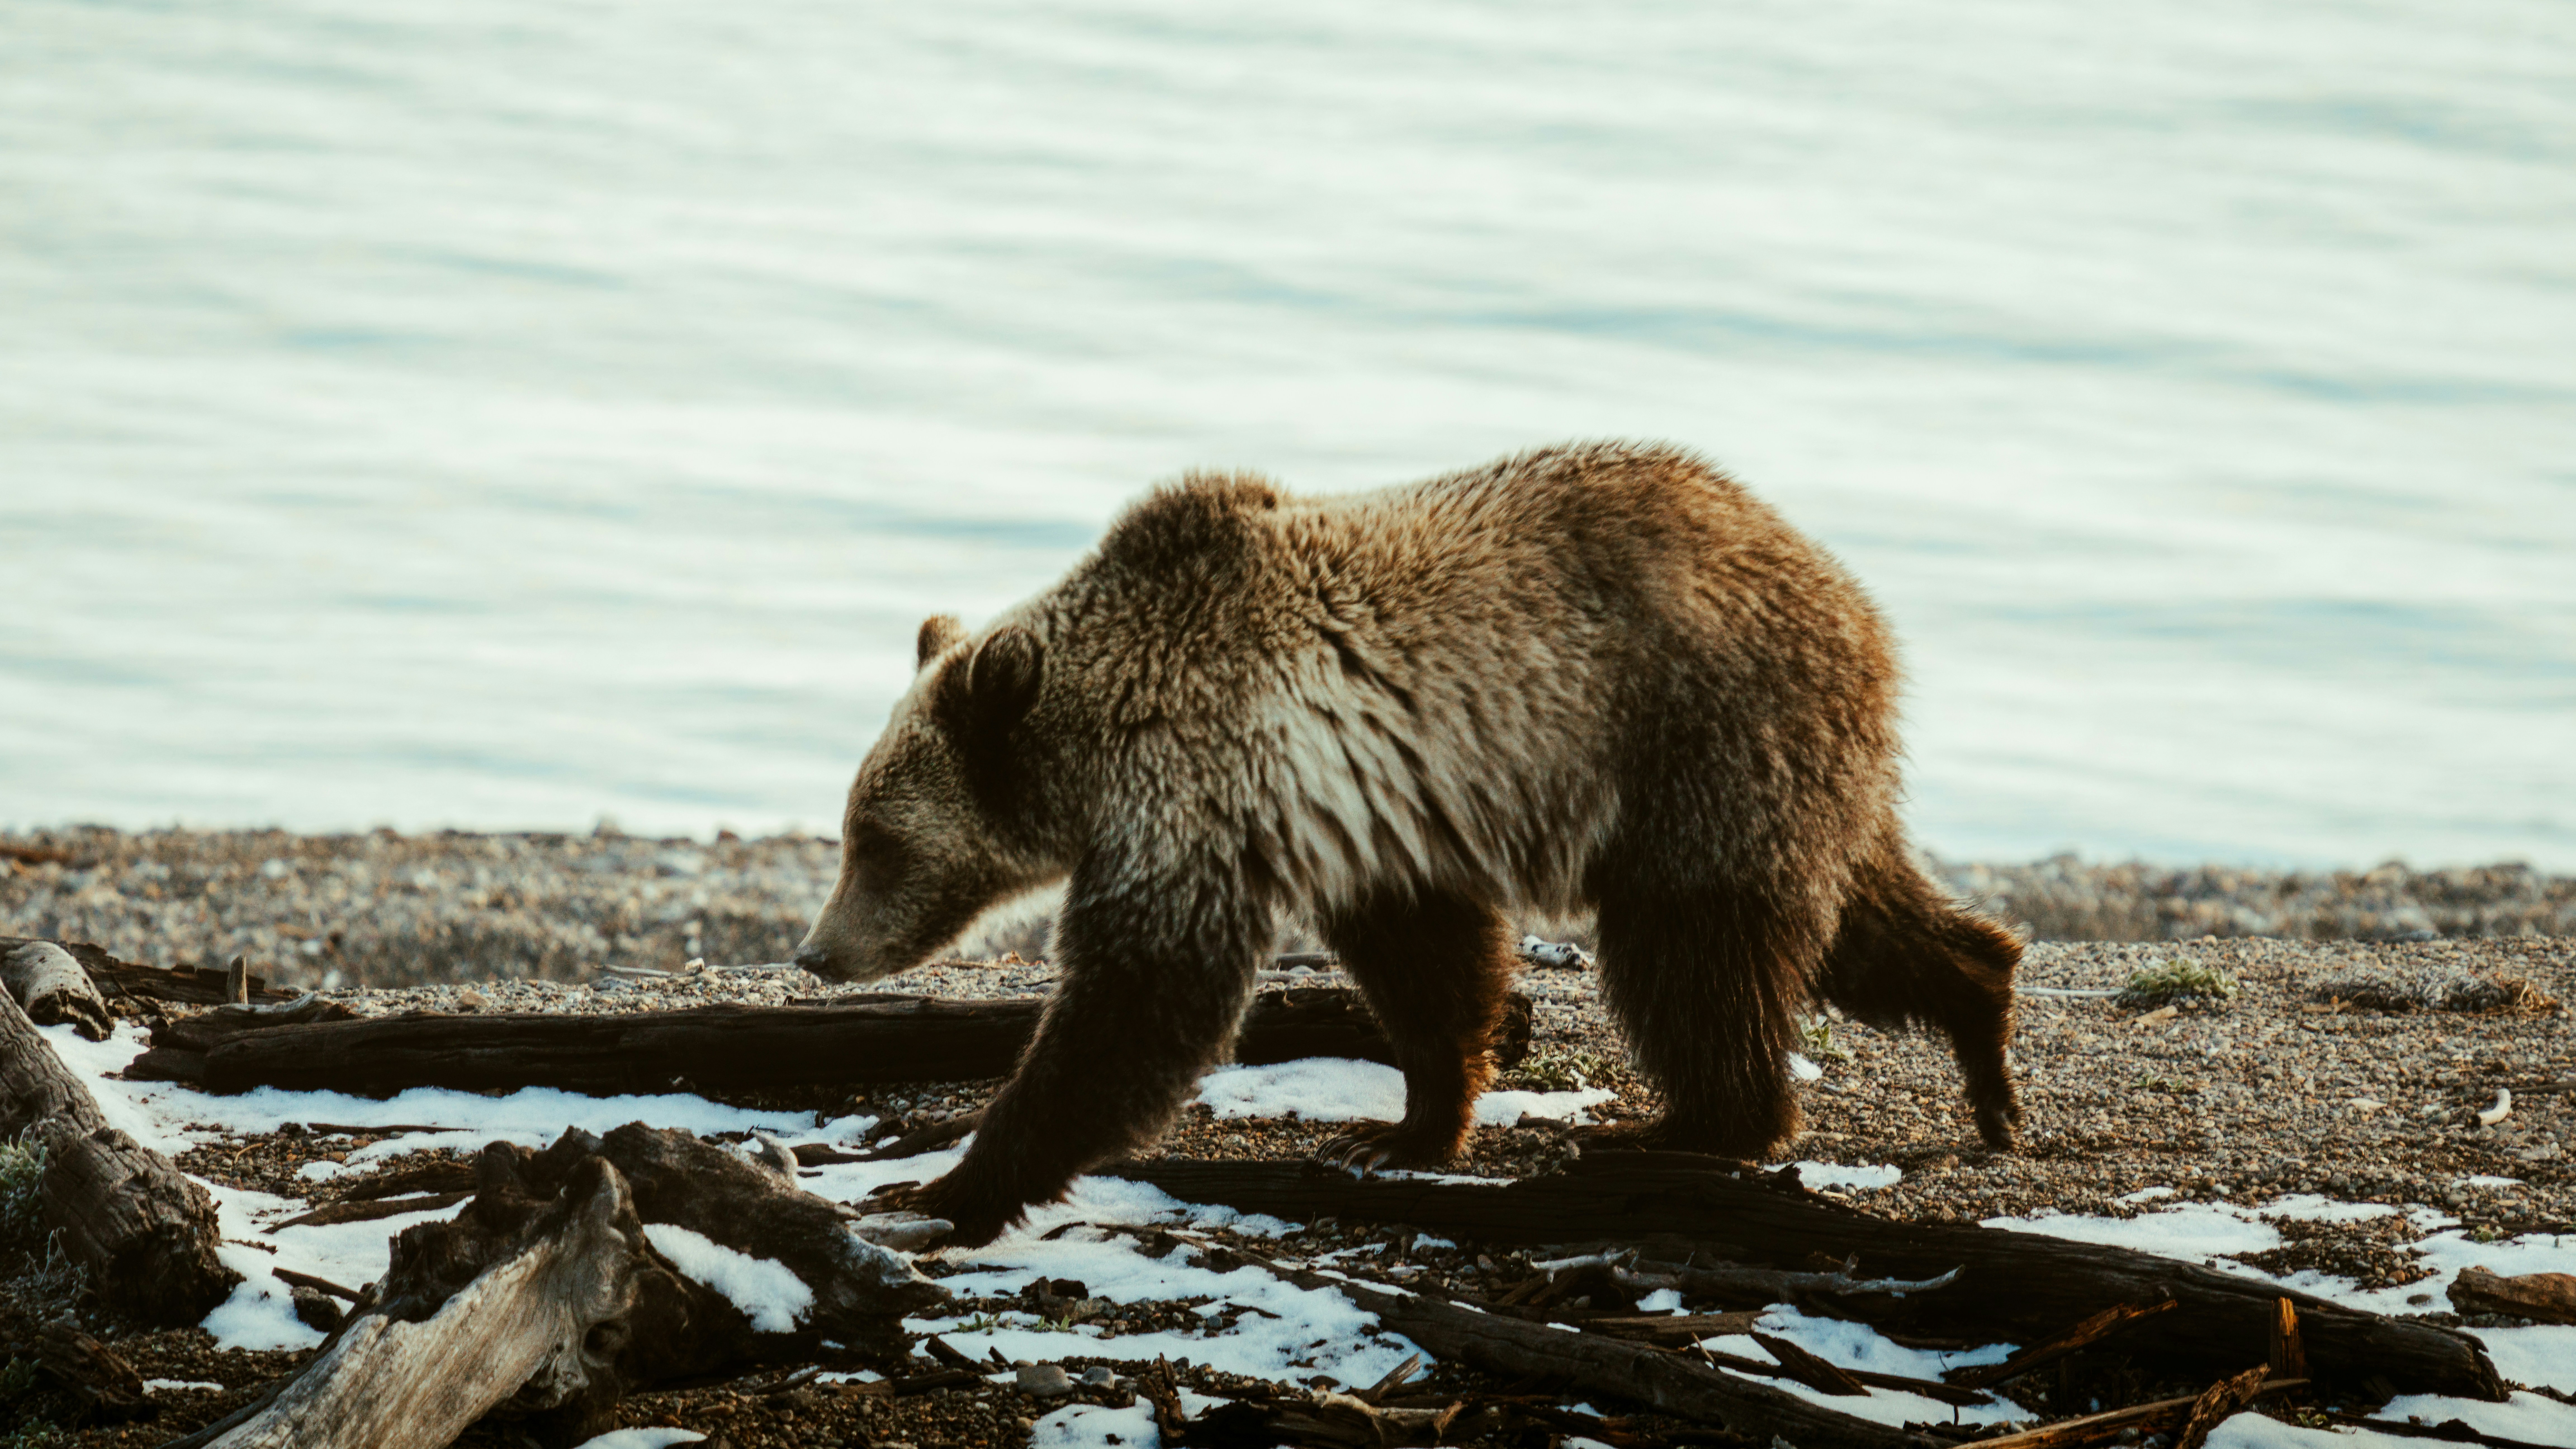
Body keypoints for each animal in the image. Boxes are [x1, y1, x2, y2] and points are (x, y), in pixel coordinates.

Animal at [793, 441, 2021, 1247]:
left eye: (874, 840)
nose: (817, 951)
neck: (1100, 735)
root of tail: (1853, 604)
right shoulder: (1369, 819)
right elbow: (1430, 967)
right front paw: (1405, 1131)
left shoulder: (1195, 795)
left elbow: (1138, 1003)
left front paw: (943, 1188)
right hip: (1784, 767)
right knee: (1858, 918)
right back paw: (1984, 1030)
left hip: (1689, 739)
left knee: (1694, 951)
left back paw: (1695, 1126)